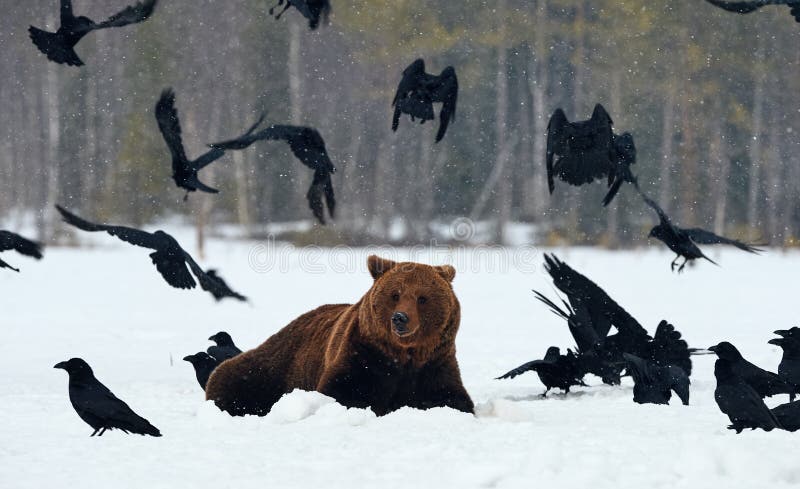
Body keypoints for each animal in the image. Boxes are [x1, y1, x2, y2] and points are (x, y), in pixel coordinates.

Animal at [204, 255, 474, 416]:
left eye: (422, 298)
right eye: (395, 294)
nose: (400, 318)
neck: (403, 355)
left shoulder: (435, 362)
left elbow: (452, 398)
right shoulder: (363, 356)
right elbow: (343, 392)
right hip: (276, 365)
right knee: (232, 376)